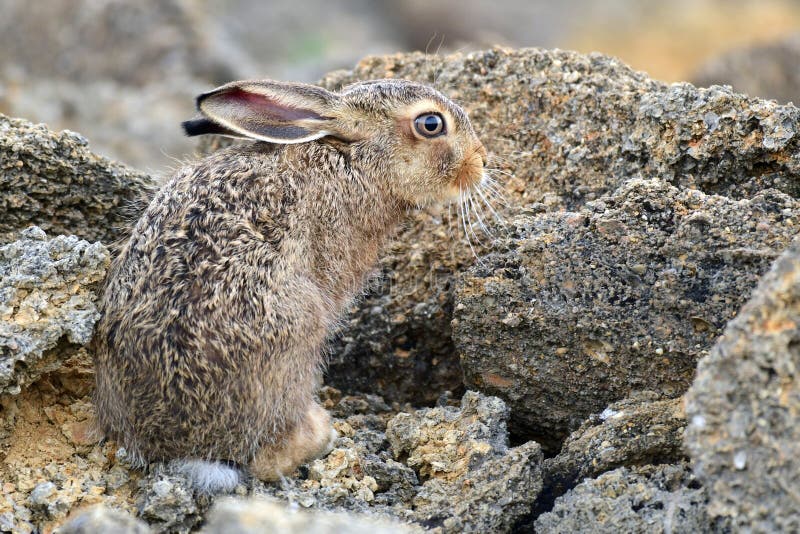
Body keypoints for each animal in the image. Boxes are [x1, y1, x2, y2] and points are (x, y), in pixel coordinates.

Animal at [92, 77, 487, 493]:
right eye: (431, 124)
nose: (481, 162)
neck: (353, 158)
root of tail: (175, 449)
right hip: (297, 331)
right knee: (266, 459)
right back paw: (322, 431)